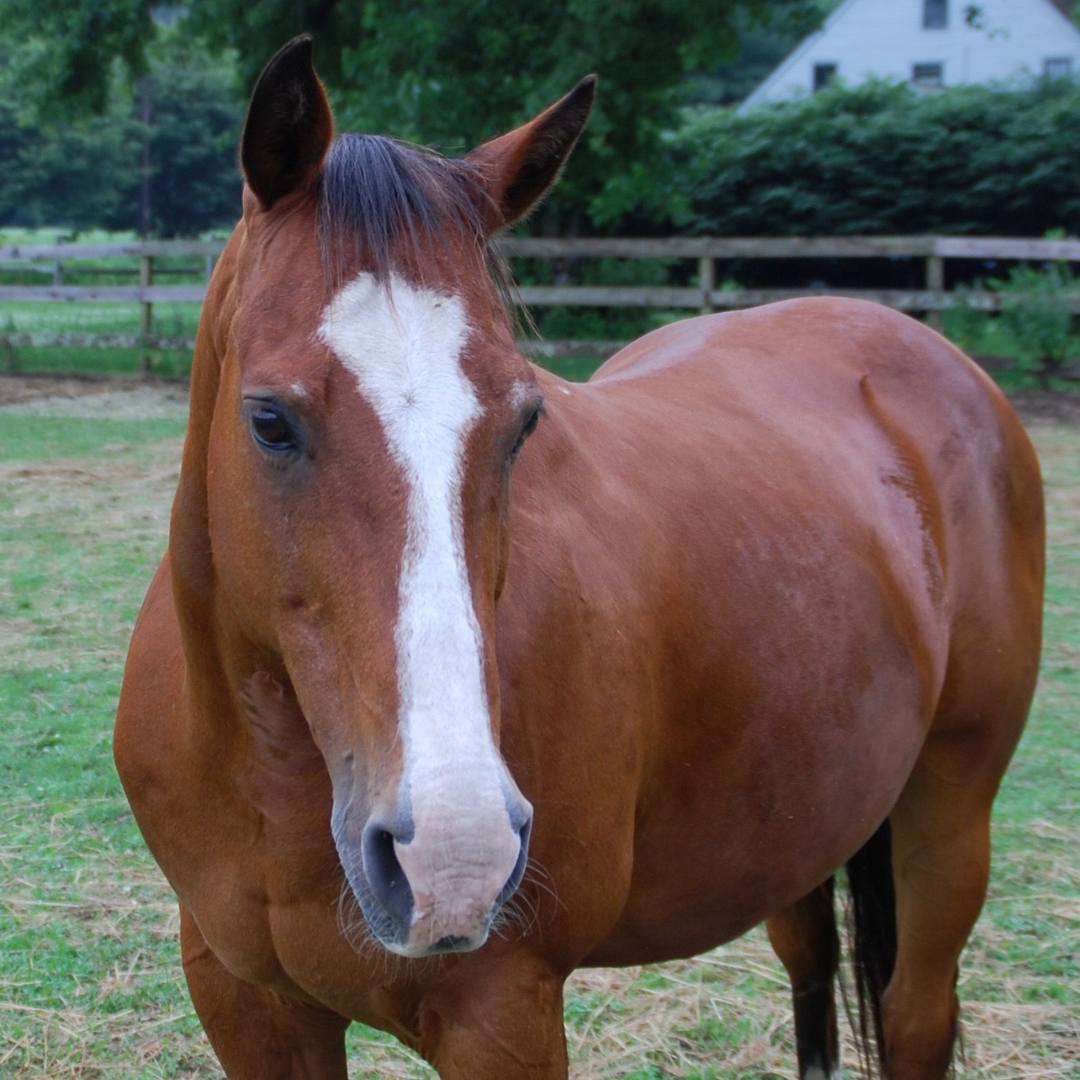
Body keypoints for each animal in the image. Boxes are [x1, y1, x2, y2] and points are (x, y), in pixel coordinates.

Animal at [114, 35, 1044, 1080]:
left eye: (524, 422)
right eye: (269, 421)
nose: (453, 852)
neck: (270, 773)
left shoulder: (501, 1014)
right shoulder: (245, 1000)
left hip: (951, 809)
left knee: (915, 1009)